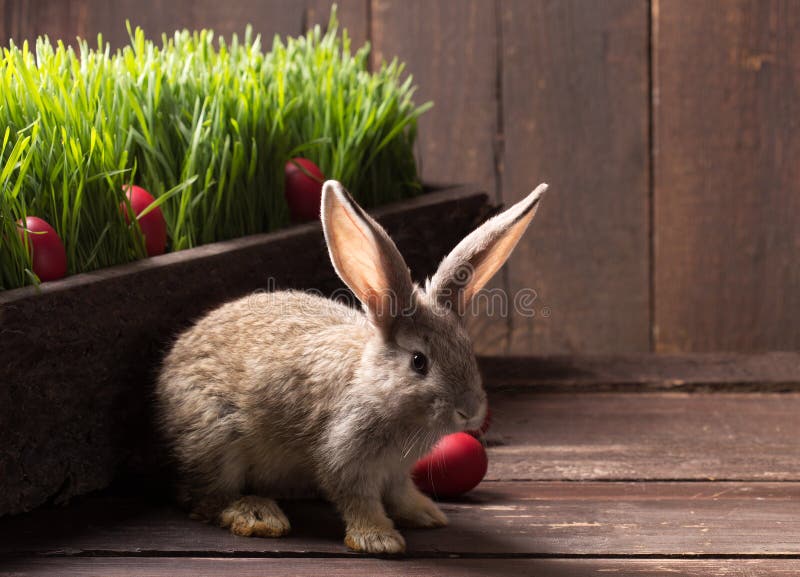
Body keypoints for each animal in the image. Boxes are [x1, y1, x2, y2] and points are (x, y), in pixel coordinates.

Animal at [156, 179, 548, 554]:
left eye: (469, 352)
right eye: (419, 362)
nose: (470, 411)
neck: (376, 387)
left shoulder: (396, 471)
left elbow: (399, 493)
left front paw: (425, 514)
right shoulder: (345, 456)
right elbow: (359, 500)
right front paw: (379, 540)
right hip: (217, 438)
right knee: (206, 498)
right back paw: (258, 515)